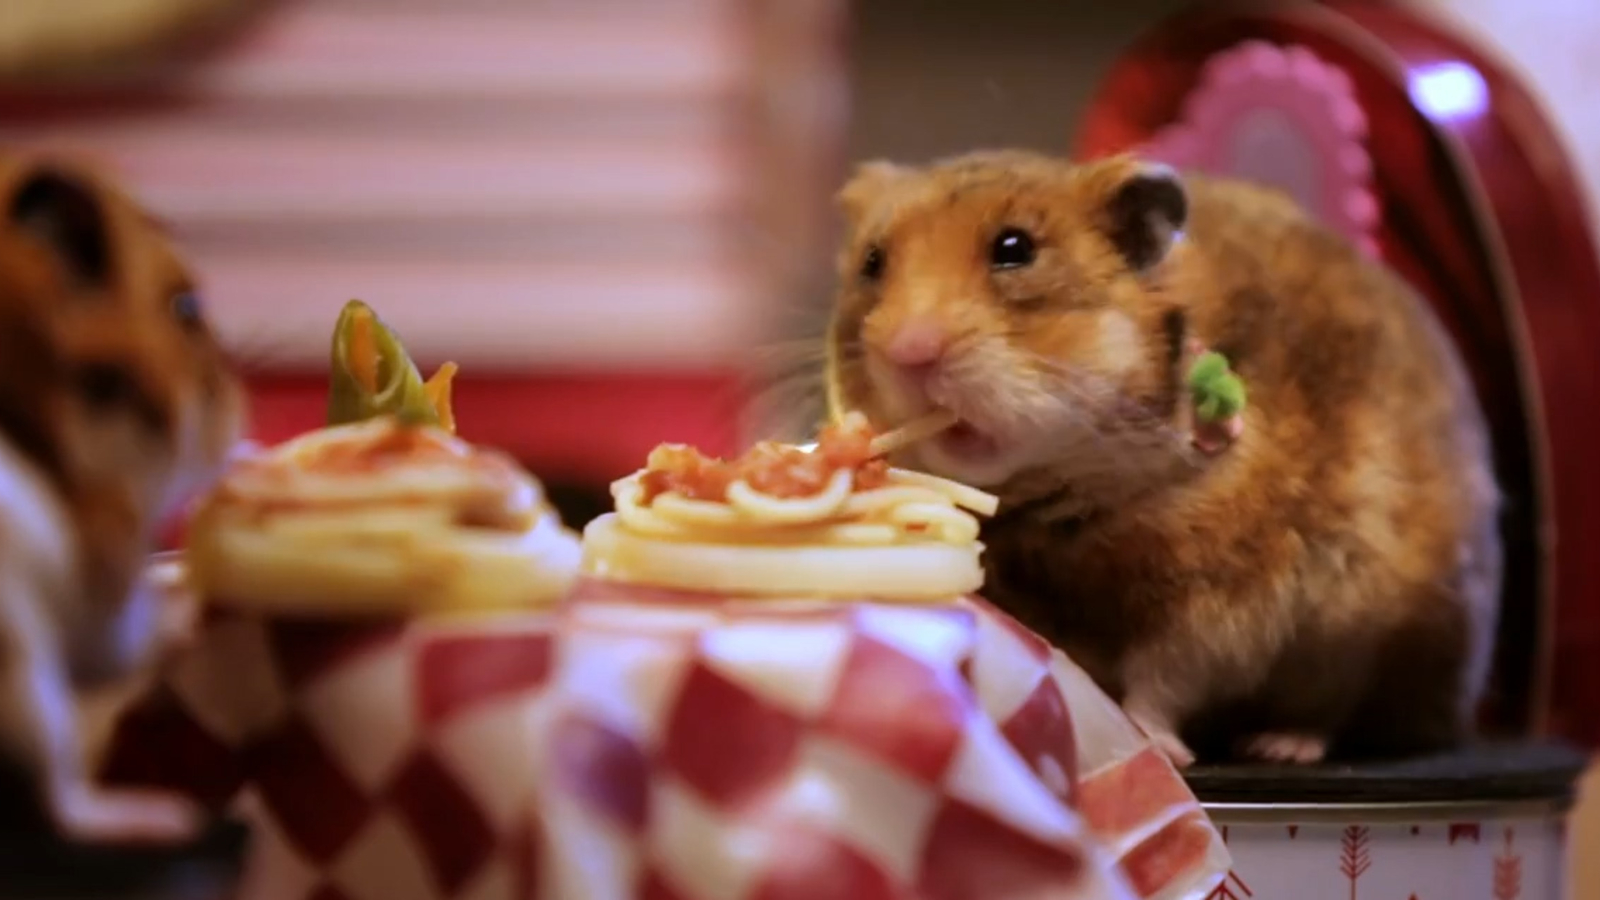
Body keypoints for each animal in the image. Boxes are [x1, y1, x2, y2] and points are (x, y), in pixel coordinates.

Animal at [0, 154, 244, 839]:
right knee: (62, 802)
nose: (240, 421)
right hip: (34, 686)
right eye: (186, 306)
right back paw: (164, 817)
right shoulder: (100, 586)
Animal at [823, 150, 1500, 766]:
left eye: (1015, 249)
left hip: (1362, 625)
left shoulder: (1222, 594)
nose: (909, 351)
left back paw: (1279, 746)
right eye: (872, 261)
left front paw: (1156, 747)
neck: (1063, 489)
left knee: (1333, 703)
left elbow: (1165, 677)